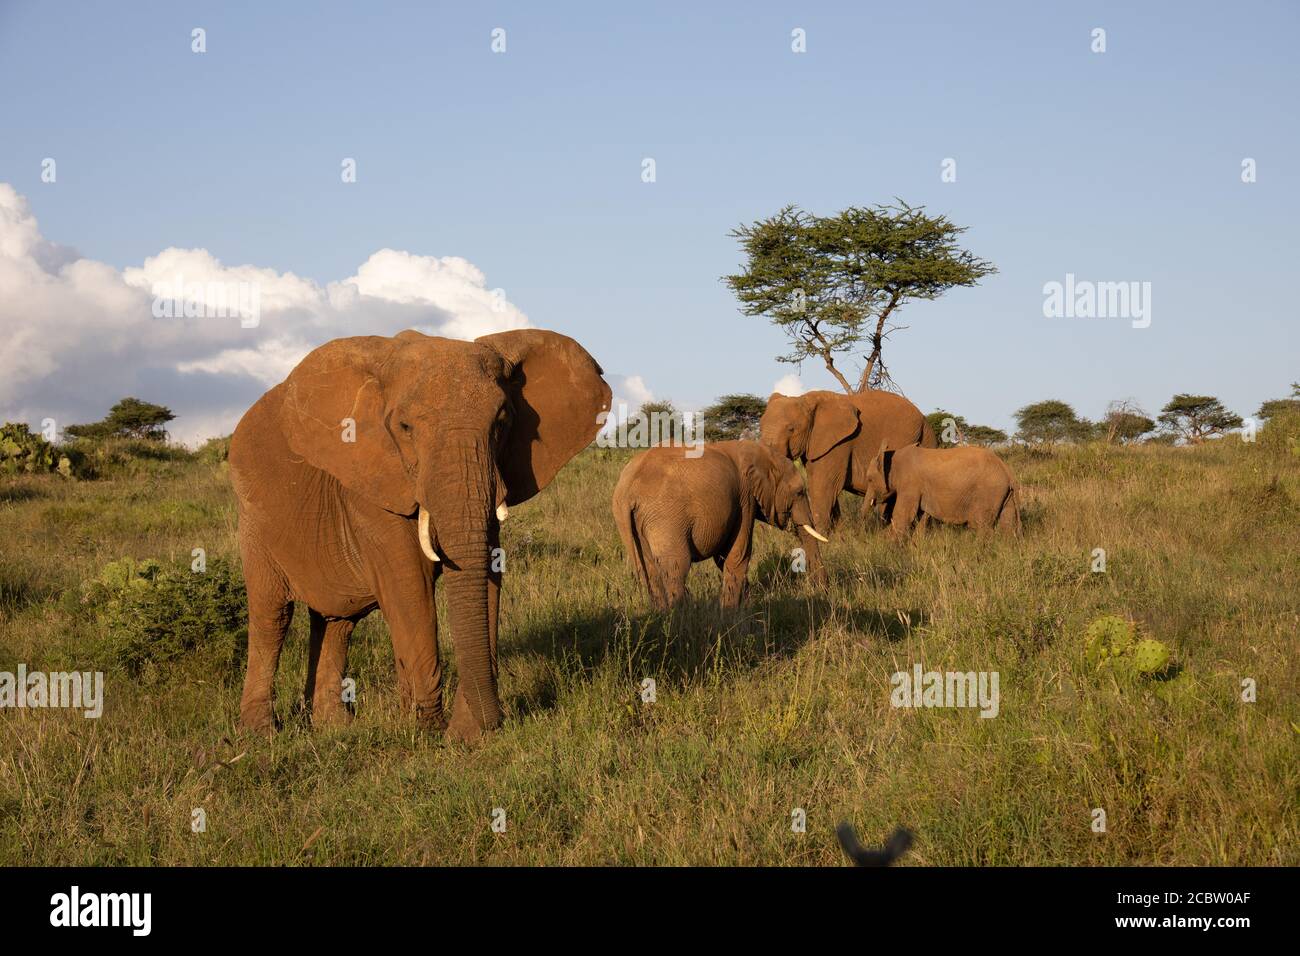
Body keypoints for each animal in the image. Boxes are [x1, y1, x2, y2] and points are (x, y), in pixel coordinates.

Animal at [227, 328, 611, 742]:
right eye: (405, 428)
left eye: (502, 422)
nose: (496, 723)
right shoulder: (371, 480)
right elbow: (409, 586)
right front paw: (427, 730)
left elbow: (486, 573)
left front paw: (463, 734)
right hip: (253, 516)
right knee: (272, 615)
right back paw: (260, 733)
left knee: (336, 621)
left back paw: (334, 726)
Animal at [611, 440, 828, 609]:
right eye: (799, 492)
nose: (823, 590)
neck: (760, 452)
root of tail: (628, 489)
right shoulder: (744, 500)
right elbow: (737, 555)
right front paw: (731, 613)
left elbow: (724, 558)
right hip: (665, 516)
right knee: (675, 568)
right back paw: (679, 617)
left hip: (628, 520)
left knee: (649, 570)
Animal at [759, 389, 937, 534]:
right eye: (759, 427)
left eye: (791, 429)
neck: (805, 398)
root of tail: (924, 420)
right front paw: (838, 536)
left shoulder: (839, 444)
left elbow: (822, 487)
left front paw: (824, 538)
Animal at [863, 441, 1021, 538]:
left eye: (869, 479)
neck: (891, 456)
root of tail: (1007, 471)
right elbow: (920, 517)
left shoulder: (910, 484)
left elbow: (904, 515)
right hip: (1004, 494)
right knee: (1007, 525)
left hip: (989, 492)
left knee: (981, 526)